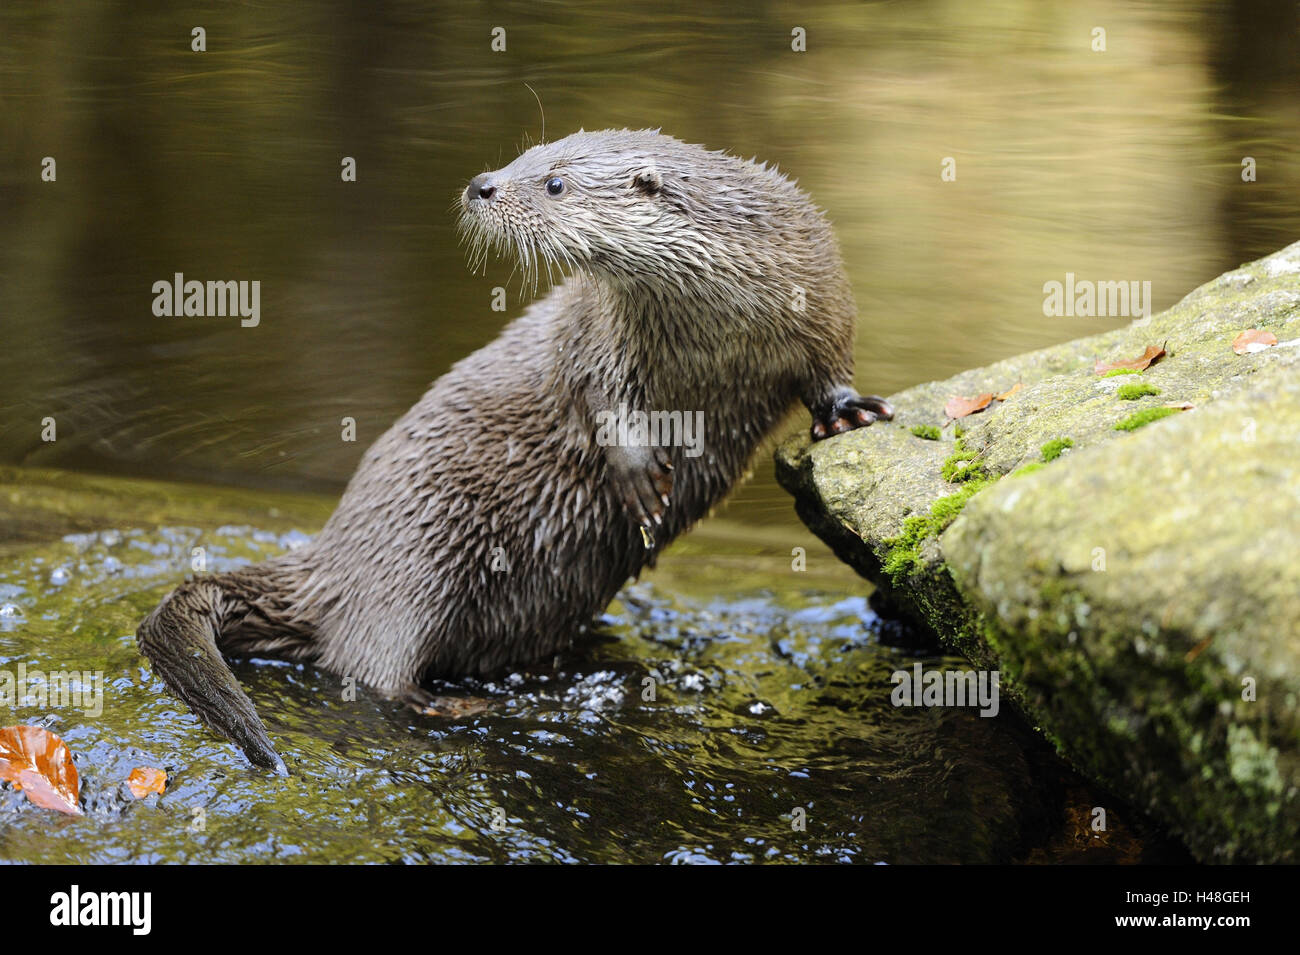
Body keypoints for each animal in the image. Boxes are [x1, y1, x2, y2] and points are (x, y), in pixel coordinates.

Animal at [137, 129, 892, 771]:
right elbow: (597, 399)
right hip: (415, 552)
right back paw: (443, 702)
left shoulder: (820, 290)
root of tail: (329, 559)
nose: (481, 184)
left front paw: (849, 412)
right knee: (367, 660)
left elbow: (829, 363)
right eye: (525, 151)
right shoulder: (596, 335)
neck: (712, 336)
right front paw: (640, 476)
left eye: (554, 181)